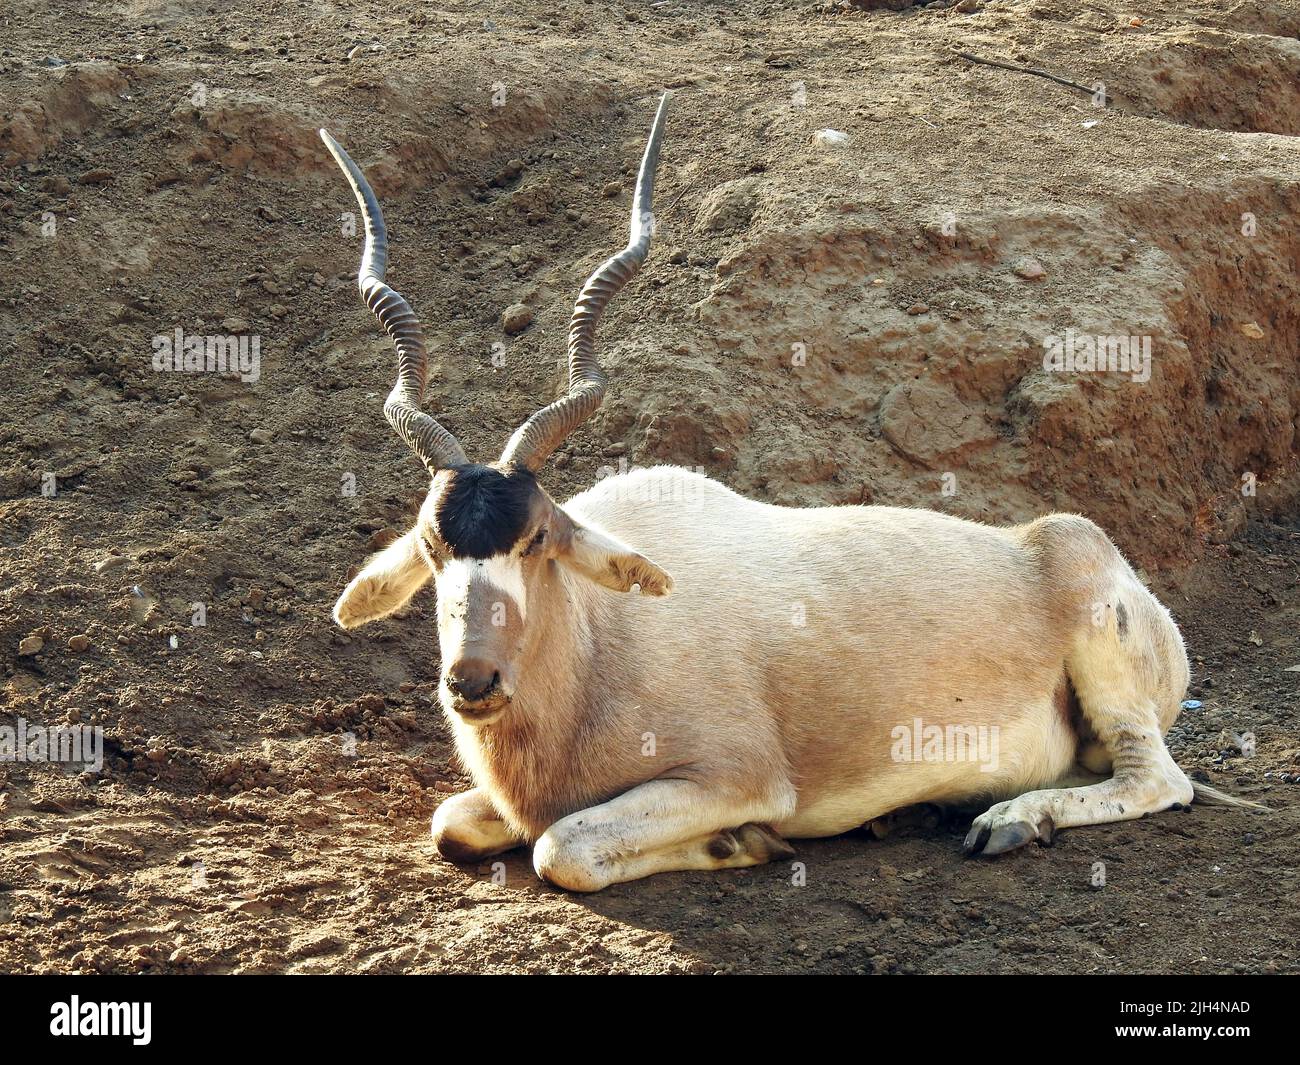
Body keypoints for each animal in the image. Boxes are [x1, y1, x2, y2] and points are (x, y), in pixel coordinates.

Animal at [318, 95, 1257, 892]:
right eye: (433, 544)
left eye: (538, 538)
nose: (472, 681)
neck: (602, 638)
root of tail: (1074, 548)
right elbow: (451, 822)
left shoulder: (733, 774)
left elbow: (562, 848)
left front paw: (739, 842)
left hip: (1114, 682)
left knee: (1160, 778)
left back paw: (1013, 819)